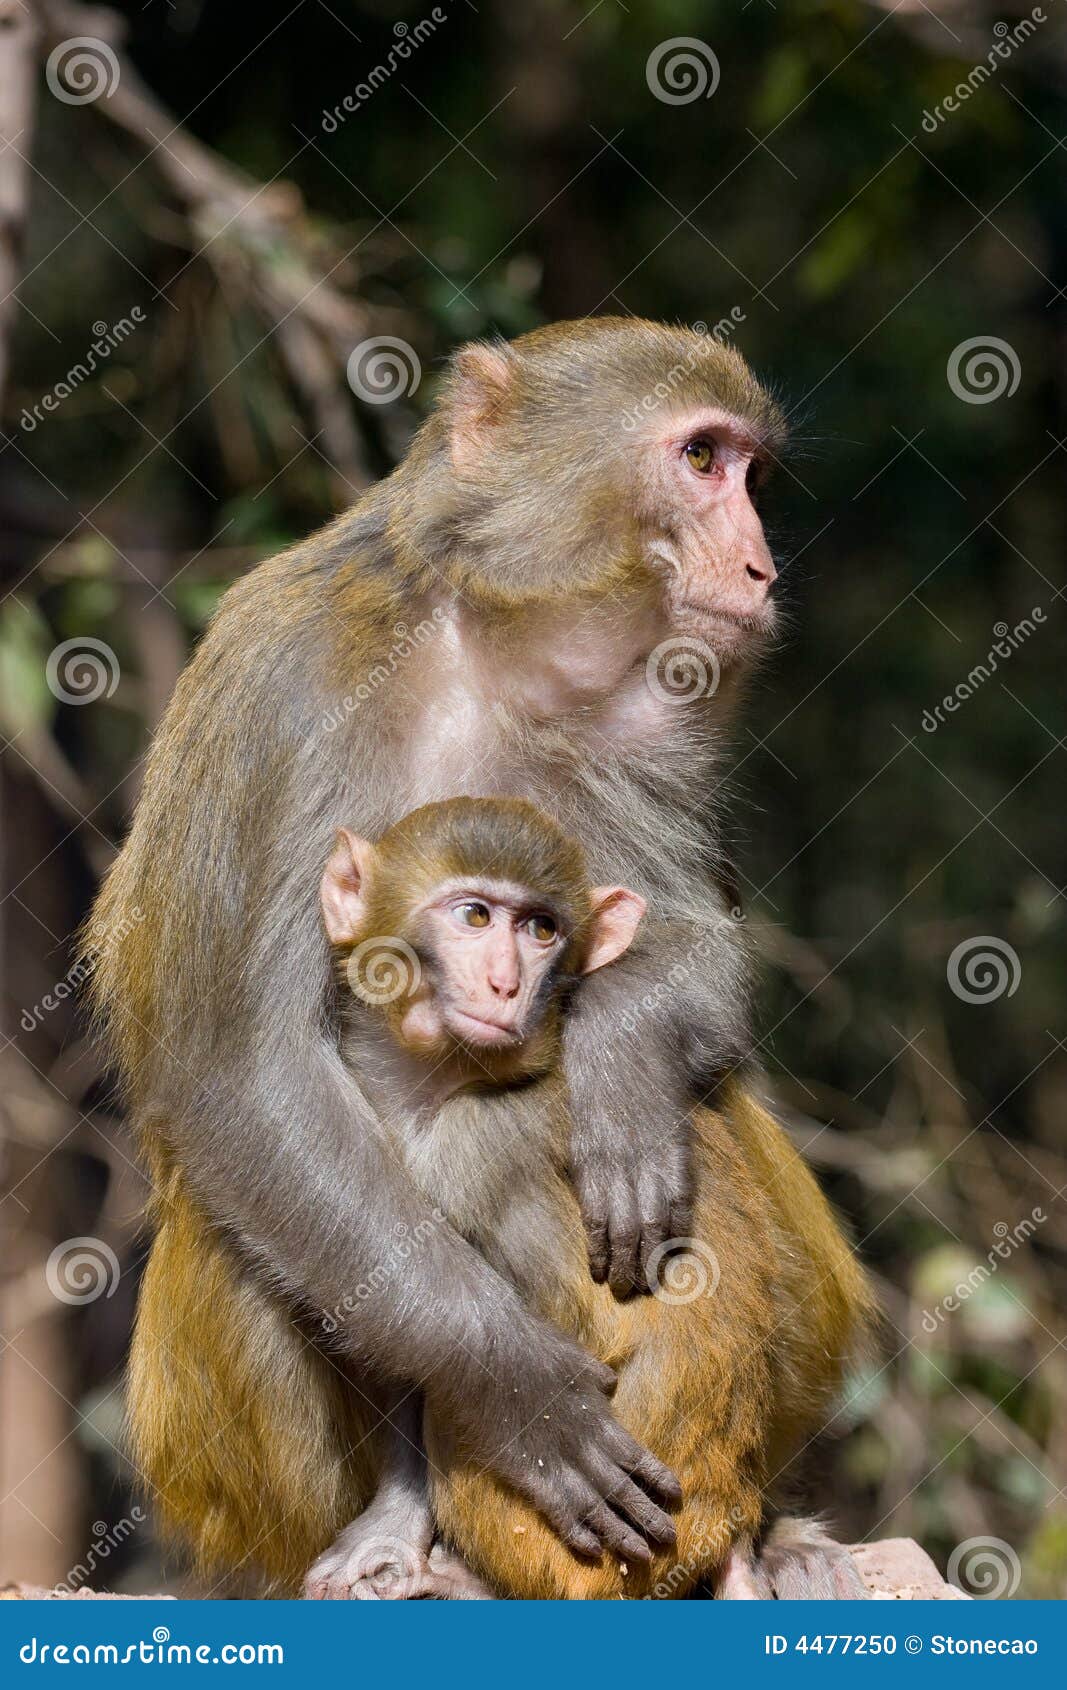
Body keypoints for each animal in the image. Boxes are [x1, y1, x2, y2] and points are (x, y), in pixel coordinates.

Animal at [90, 316, 803, 1575]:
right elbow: (234, 1067)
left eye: (750, 472)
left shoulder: (648, 725)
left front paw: (621, 1062)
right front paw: (514, 1391)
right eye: (700, 460)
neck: (486, 637)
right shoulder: (287, 681)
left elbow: (699, 955)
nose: (761, 570)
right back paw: (397, 1513)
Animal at [127, 797, 874, 1600]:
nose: (504, 984)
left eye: (541, 930)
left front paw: (528, 1409)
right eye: (475, 916)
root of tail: (718, 1522)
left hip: (558, 1547)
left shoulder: (462, 1149)